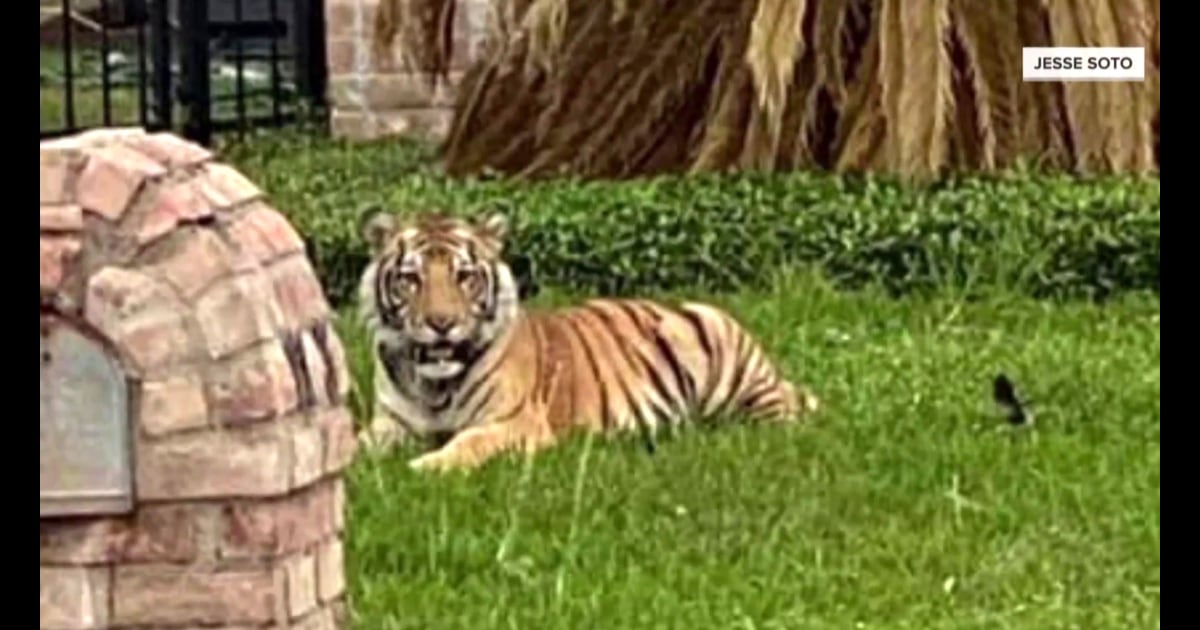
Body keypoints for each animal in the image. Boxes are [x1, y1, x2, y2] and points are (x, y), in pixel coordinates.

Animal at [357, 211, 820, 472]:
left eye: (464, 276)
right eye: (411, 279)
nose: (441, 323)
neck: (434, 385)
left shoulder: (517, 422)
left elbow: (469, 442)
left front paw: (425, 466)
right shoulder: (390, 425)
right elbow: (357, 442)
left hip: (722, 352)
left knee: (779, 415)